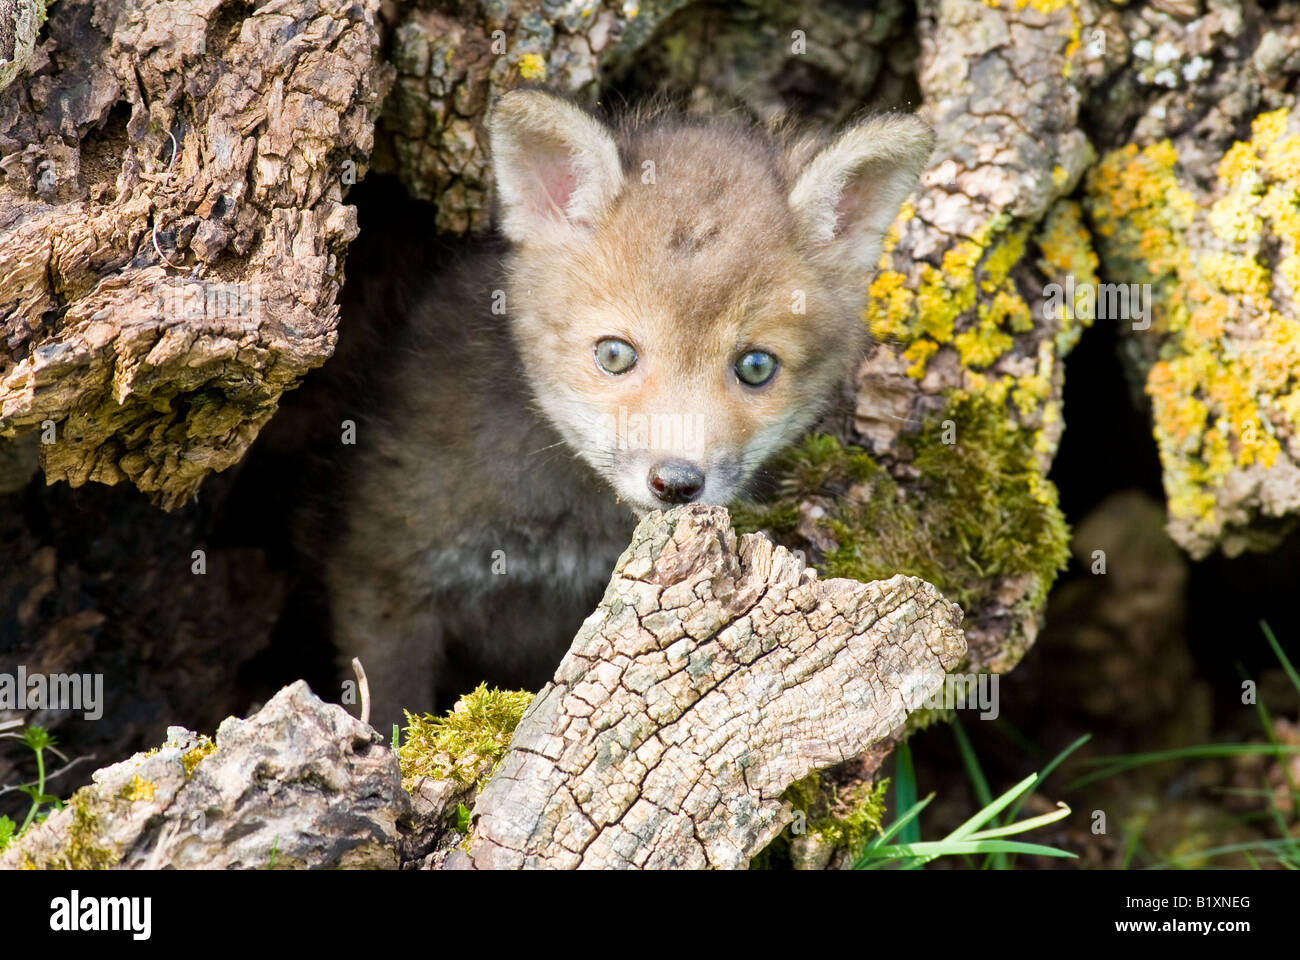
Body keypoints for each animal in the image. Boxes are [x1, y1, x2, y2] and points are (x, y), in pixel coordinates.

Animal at [321, 89, 933, 730]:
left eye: (756, 366)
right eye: (615, 354)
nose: (677, 483)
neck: (561, 530)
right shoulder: (380, 573)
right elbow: (390, 708)